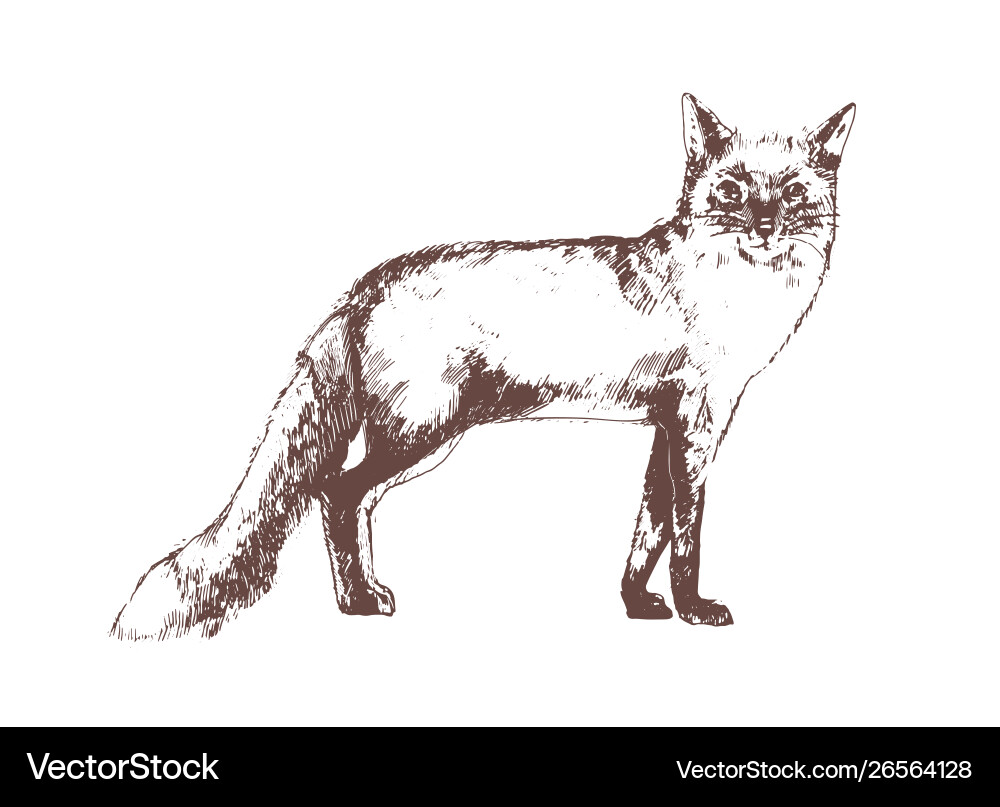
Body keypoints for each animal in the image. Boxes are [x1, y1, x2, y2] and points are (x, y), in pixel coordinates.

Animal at [112, 94, 854, 640]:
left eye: (791, 192)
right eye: (732, 190)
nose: (763, 224)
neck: (725, 293)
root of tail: (362, 286)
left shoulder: (665, 428)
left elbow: (649, 530)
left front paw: (638, 606)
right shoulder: (696, 426)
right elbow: (686, 537)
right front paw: (694, 611)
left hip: (416, 438)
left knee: (347, 498)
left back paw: (362, 594)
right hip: (425, 431)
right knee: (336, 492)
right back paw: (358, 603)